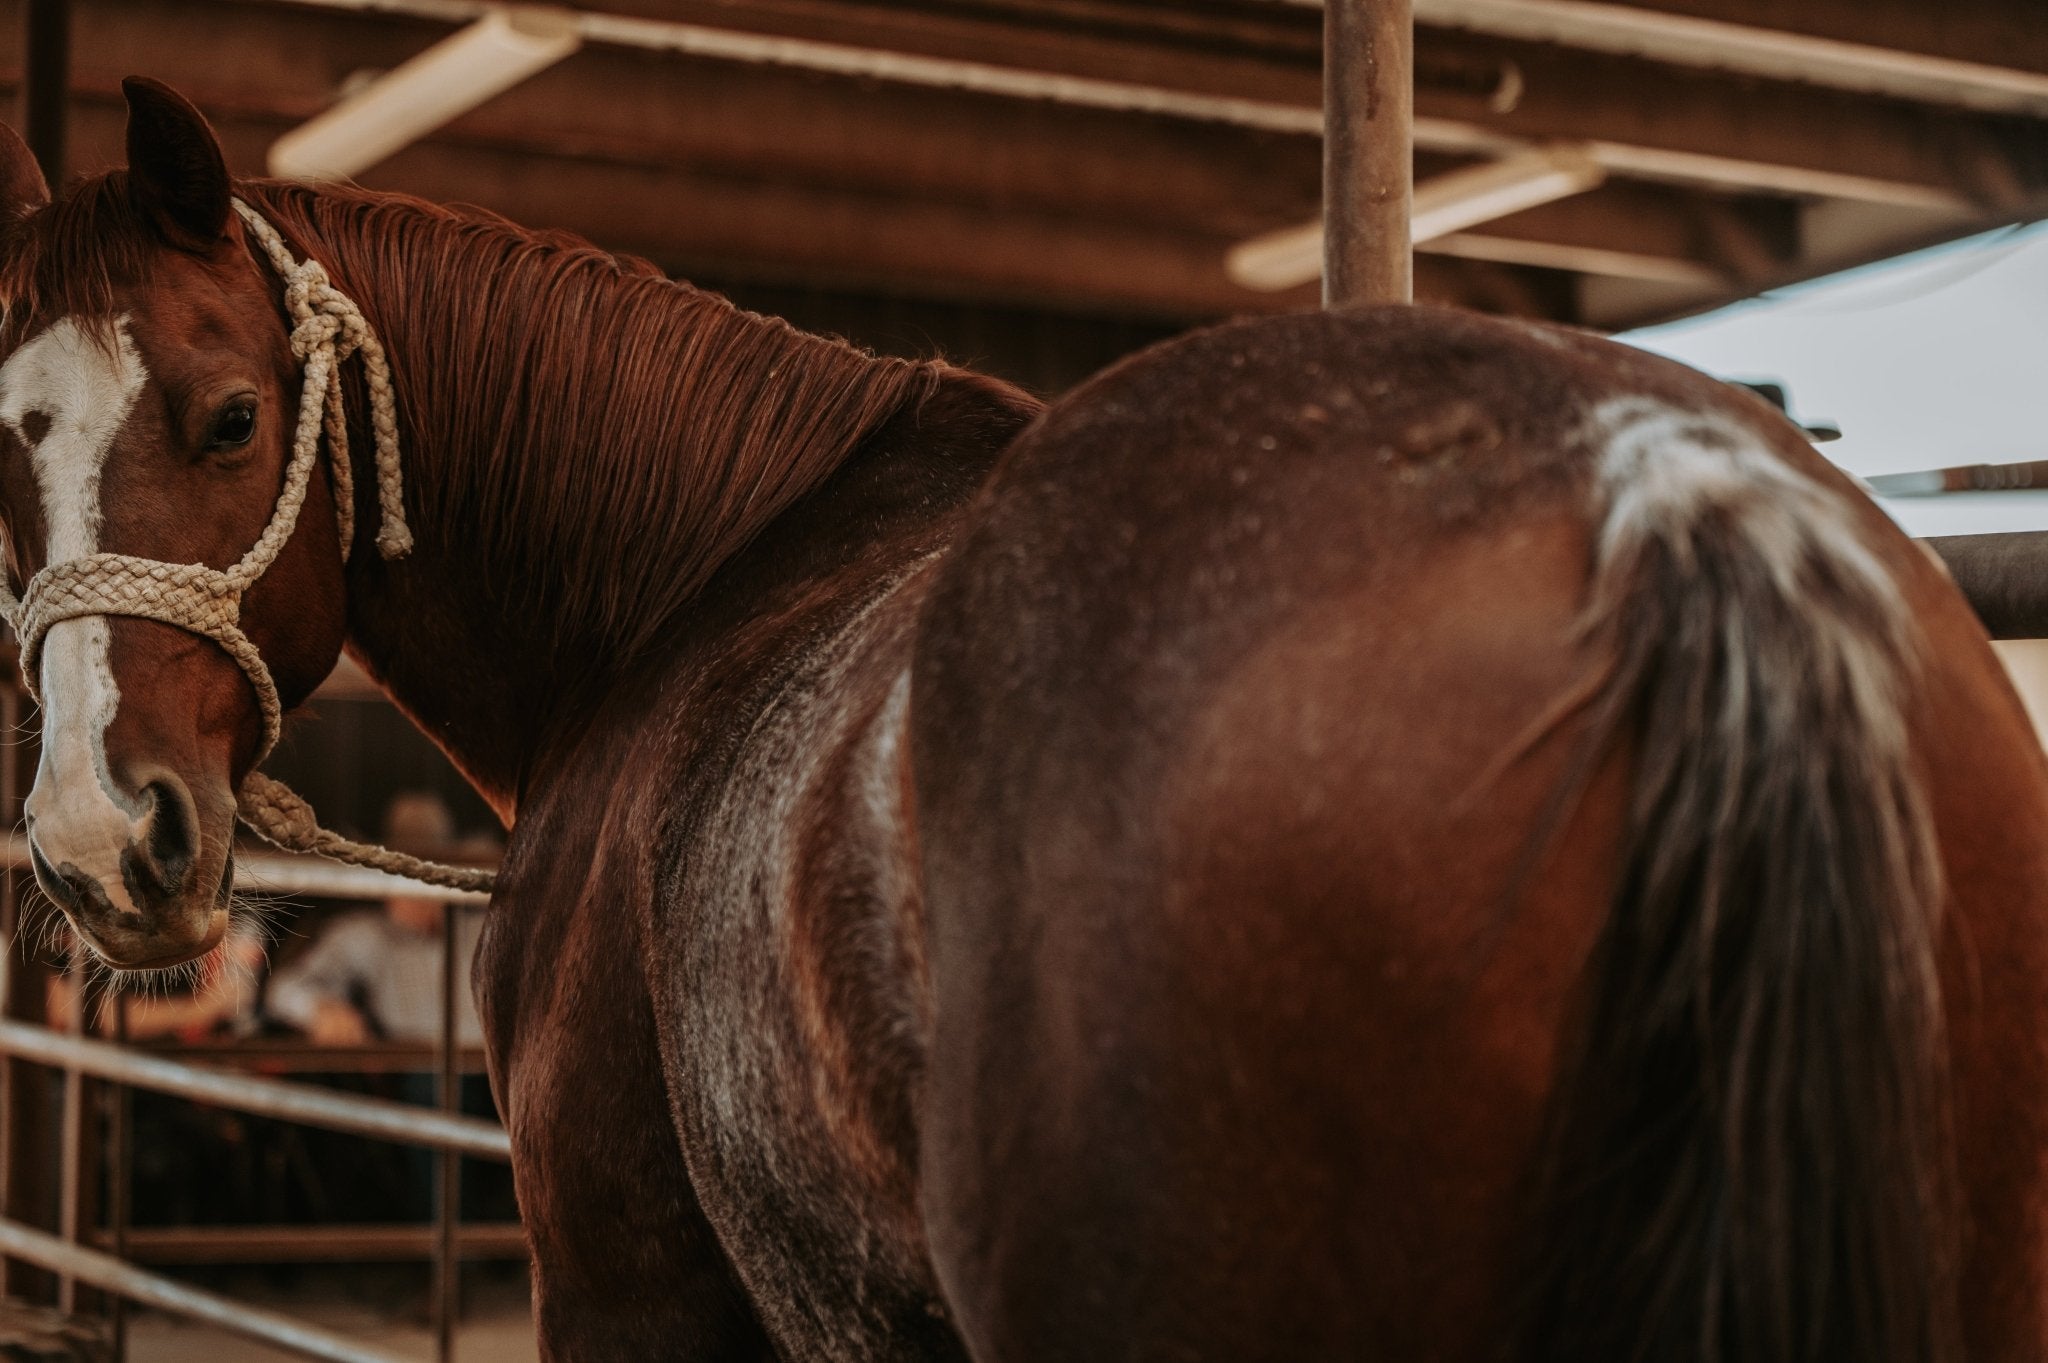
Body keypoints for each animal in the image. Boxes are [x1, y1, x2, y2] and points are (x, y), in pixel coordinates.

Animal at [4, 77, 2048, 1362]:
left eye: (229, 416)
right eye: (4, 454)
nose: (105, 836)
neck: (692, 580)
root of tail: (1662, 491)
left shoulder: (625, 1283)